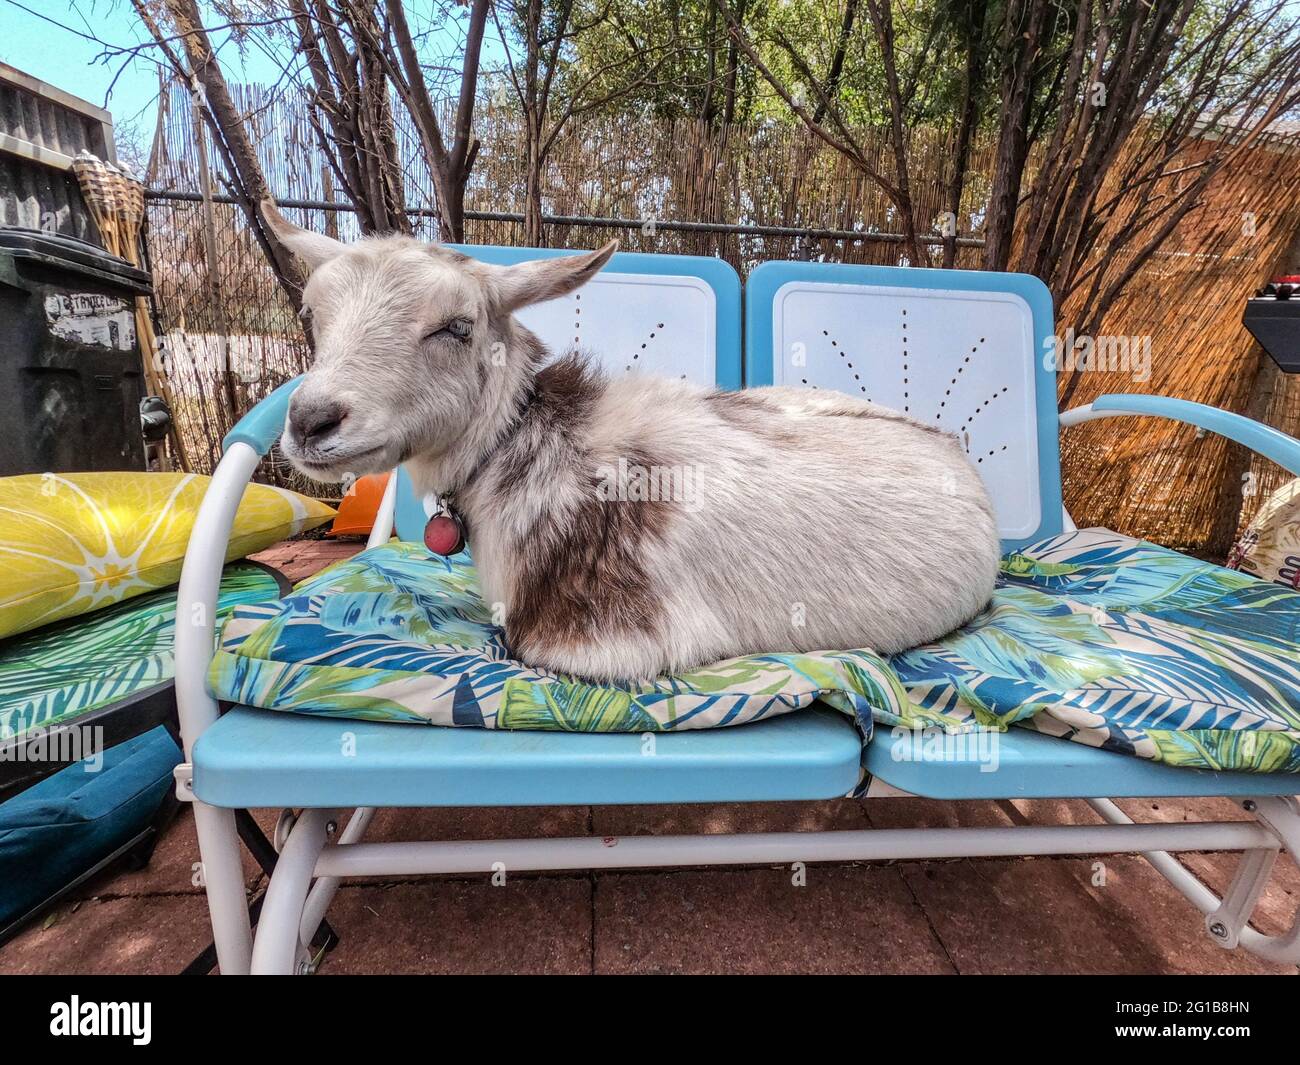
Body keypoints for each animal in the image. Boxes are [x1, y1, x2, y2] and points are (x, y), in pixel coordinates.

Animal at [264, 201, 1001, 683]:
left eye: (456, 326)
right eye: (312, 313)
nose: (312, 421)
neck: (543, 448)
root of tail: (957, 455)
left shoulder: (610, 643)